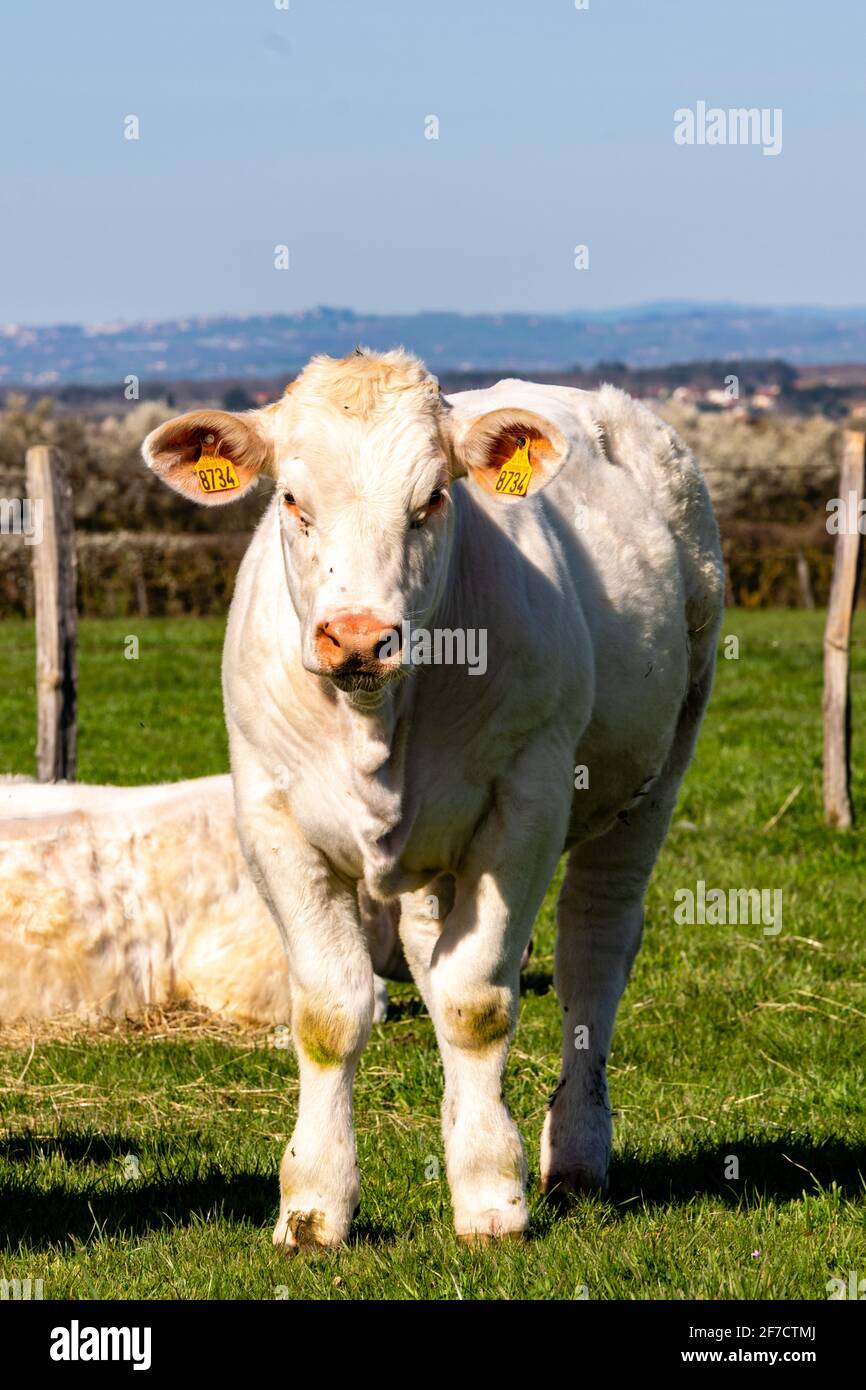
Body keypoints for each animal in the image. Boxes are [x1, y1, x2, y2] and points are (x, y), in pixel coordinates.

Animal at [143, 349, 724, 1250]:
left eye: (432, 500)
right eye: (291, 499)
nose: (356, 635)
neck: (378, 721)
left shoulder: (526, 802)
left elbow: (477, 1001)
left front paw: (490, 1192)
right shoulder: (272, 819)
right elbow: (332, 1010)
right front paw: (315, 1203)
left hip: (660, 769)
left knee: (594, 950)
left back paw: (573, 1152)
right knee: (431, 948)